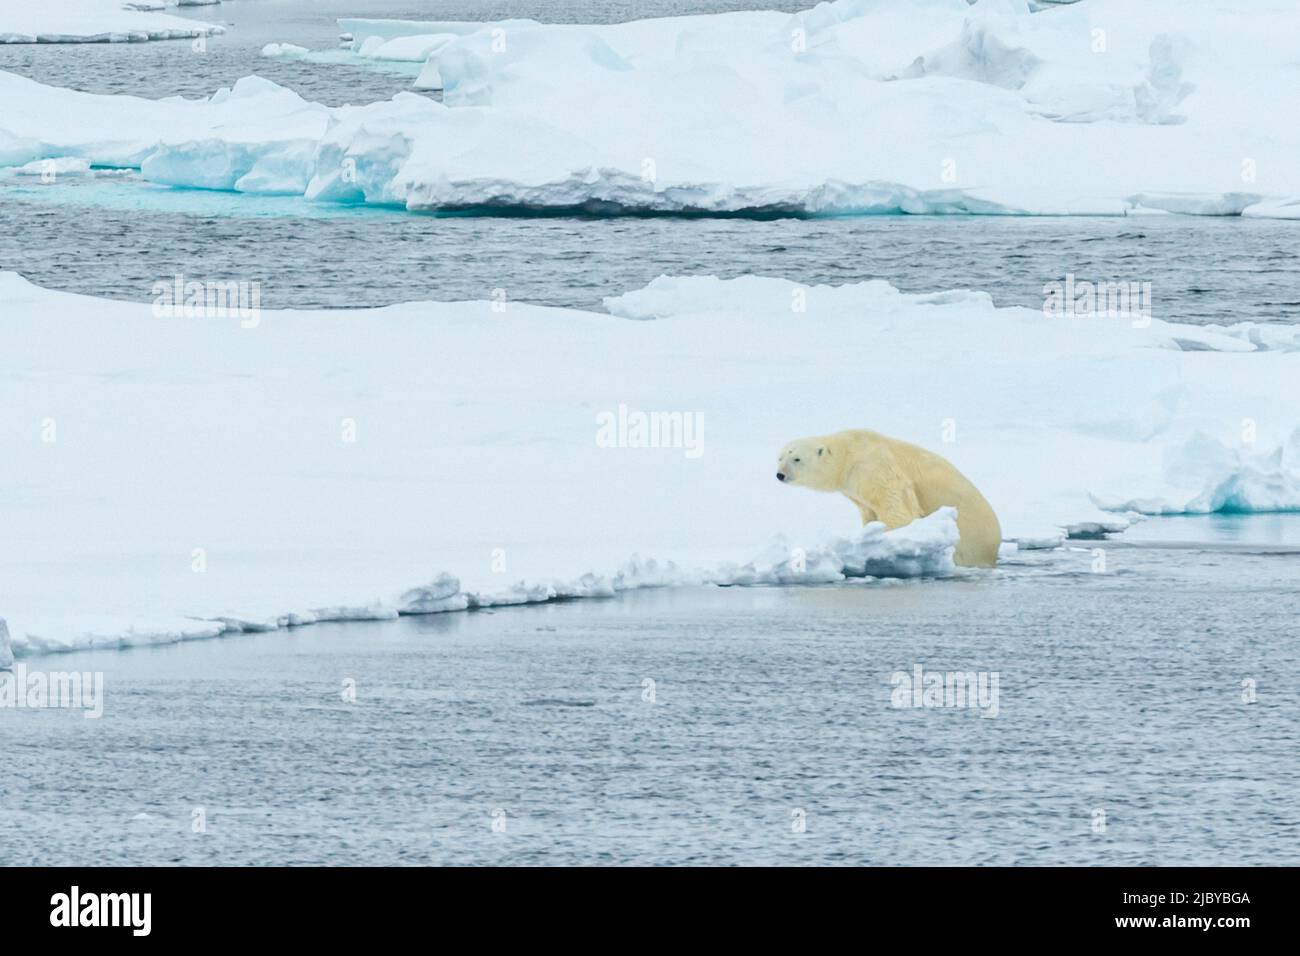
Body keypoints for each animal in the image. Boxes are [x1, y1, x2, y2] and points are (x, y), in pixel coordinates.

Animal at [776, 429, 1002, 568]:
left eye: (797, 458)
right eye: (780, 457)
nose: (780, 475)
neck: (849, 451)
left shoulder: (872, 467)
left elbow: (895, 507)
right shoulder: (854, 487)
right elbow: (869, 511)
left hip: (969, 543)